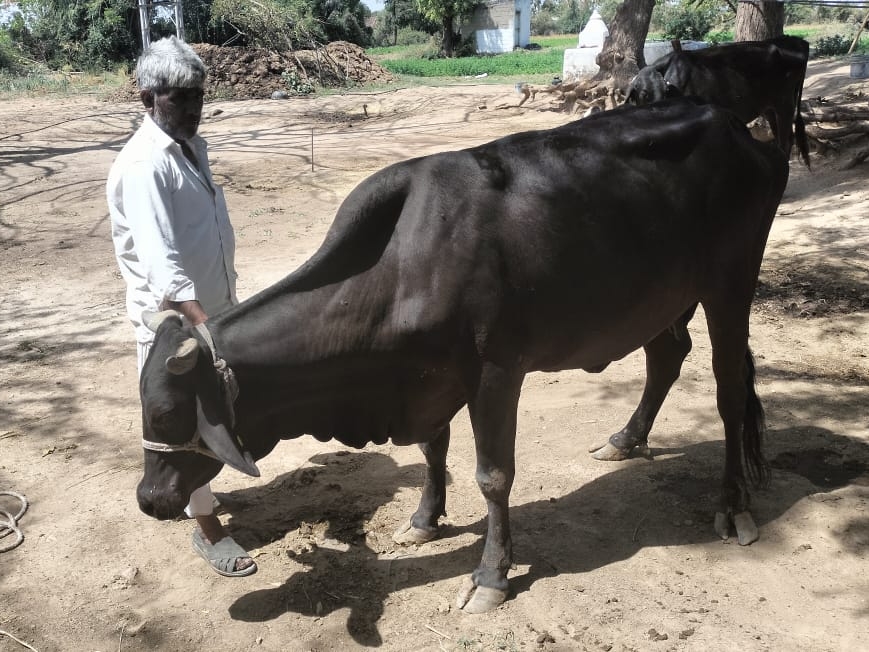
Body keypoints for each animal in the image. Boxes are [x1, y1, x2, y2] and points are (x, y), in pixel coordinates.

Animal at [136, 98, 790, 614]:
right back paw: (626, 440)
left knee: (730, 390)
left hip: (730, 282)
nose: (148, 499)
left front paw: (492, 575)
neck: (402, 266)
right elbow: (433, 450)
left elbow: (493, 476)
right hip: (659, 295)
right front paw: (426, 520)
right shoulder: (430, 378)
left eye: (166, 413)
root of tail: (733, 123)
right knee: (668, 355)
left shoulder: (496, 371)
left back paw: (733, 506)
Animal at [625, 36, 810, 167]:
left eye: (665, 91)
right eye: (644, 93)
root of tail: (797, 41)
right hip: (769, 107)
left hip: (785, 103)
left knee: (786, 140)